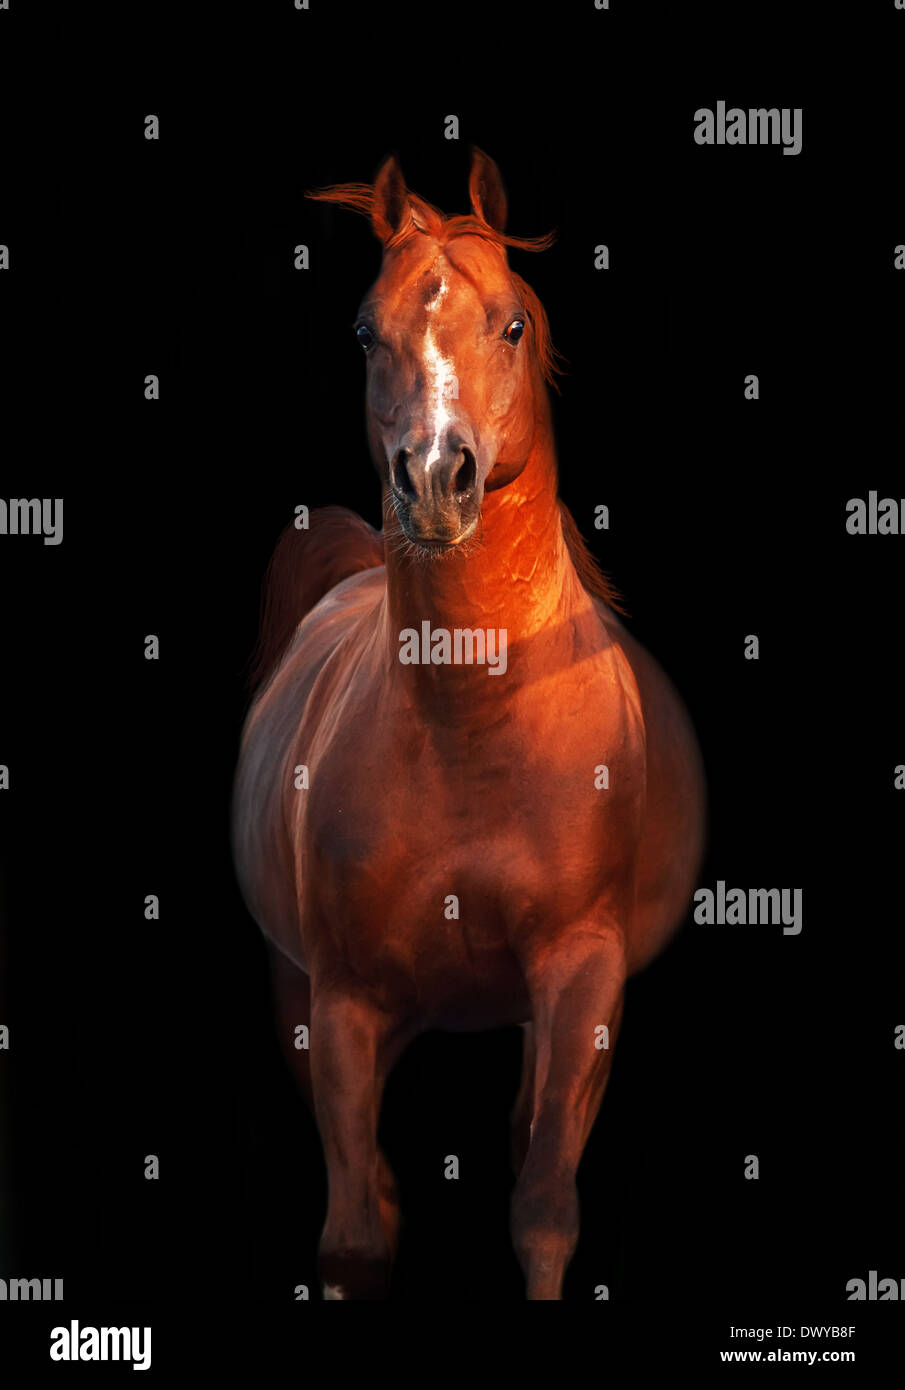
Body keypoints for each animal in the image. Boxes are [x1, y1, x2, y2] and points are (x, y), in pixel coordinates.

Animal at [232, 148, 706, 1300]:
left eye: (513, 324)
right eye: (365, 330)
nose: (434, 480)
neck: (470, 733)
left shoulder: (579, 977)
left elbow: (540, 1208)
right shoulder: (343, 1000)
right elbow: (355, 1239)